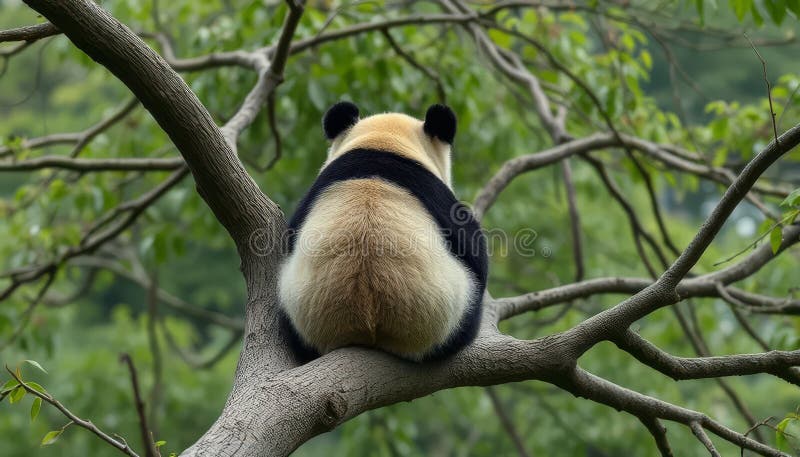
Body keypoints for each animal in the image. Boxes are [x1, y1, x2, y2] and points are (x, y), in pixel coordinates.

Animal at [277, 101, 488, 362]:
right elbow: (475, 252)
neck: (383, 142)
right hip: (449, 312)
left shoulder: (313, 192)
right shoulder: (435, 192)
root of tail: (368, 322)